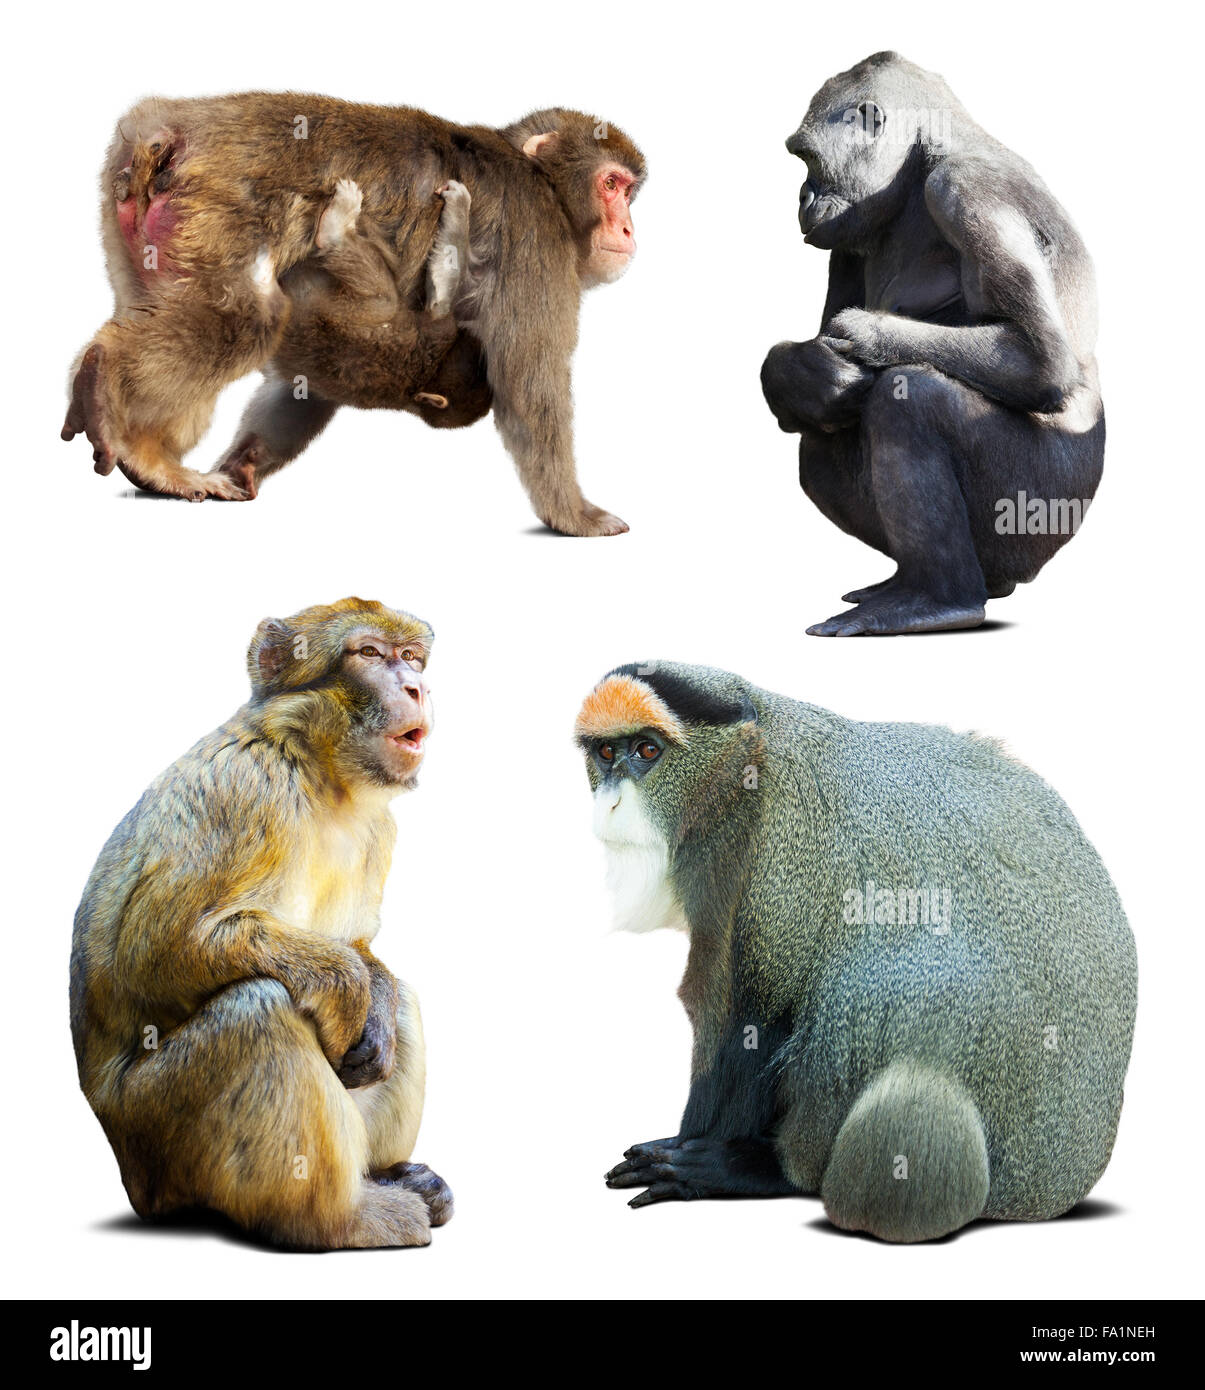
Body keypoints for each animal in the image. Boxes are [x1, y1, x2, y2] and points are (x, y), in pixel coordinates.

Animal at [62, 95, 645, 534]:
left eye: (630, 192)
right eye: (611, 185)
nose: (628, 229)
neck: (543, 182)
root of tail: (167, 131)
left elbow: (308, 386)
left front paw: (246, 463)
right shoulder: (534, 237)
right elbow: (529, 383)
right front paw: (576, 516)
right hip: (221, 216)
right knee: (250, 317)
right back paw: (121, 409)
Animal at [70, 598, 452, 1249]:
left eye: (412, 657)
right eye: (370, 654)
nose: (417, 687)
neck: (324, 777)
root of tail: (137, 1185)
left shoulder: (380, 830)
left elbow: (359, 944)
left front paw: (373, 1000)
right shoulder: (248, 789)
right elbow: (154, 949)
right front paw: (348, 986)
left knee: (401, 998)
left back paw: (393, 1175)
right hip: (157, 1132)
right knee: (260, 1007)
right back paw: (337, 1219)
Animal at [577, 663, 1136, 1242]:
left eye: (647, 751)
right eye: (605, 753)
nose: (610, 802)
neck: (750, 763)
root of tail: (1056, 1193)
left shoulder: (781, 848)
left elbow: (754, 1012)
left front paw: (714, 1165)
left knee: (902, 1054)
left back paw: (774, 1170)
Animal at [759, 53, 1105, 634]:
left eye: (806, 158)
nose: (800, 196)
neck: (919, 162)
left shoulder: (963, 189)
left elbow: (1040, 358)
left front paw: (864, 335)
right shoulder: (848, 234)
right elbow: (816, 357)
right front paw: (802, 372)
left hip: (1046, 512)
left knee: (910, 397)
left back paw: (941, 600)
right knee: (821, 431)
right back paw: (915, 584)